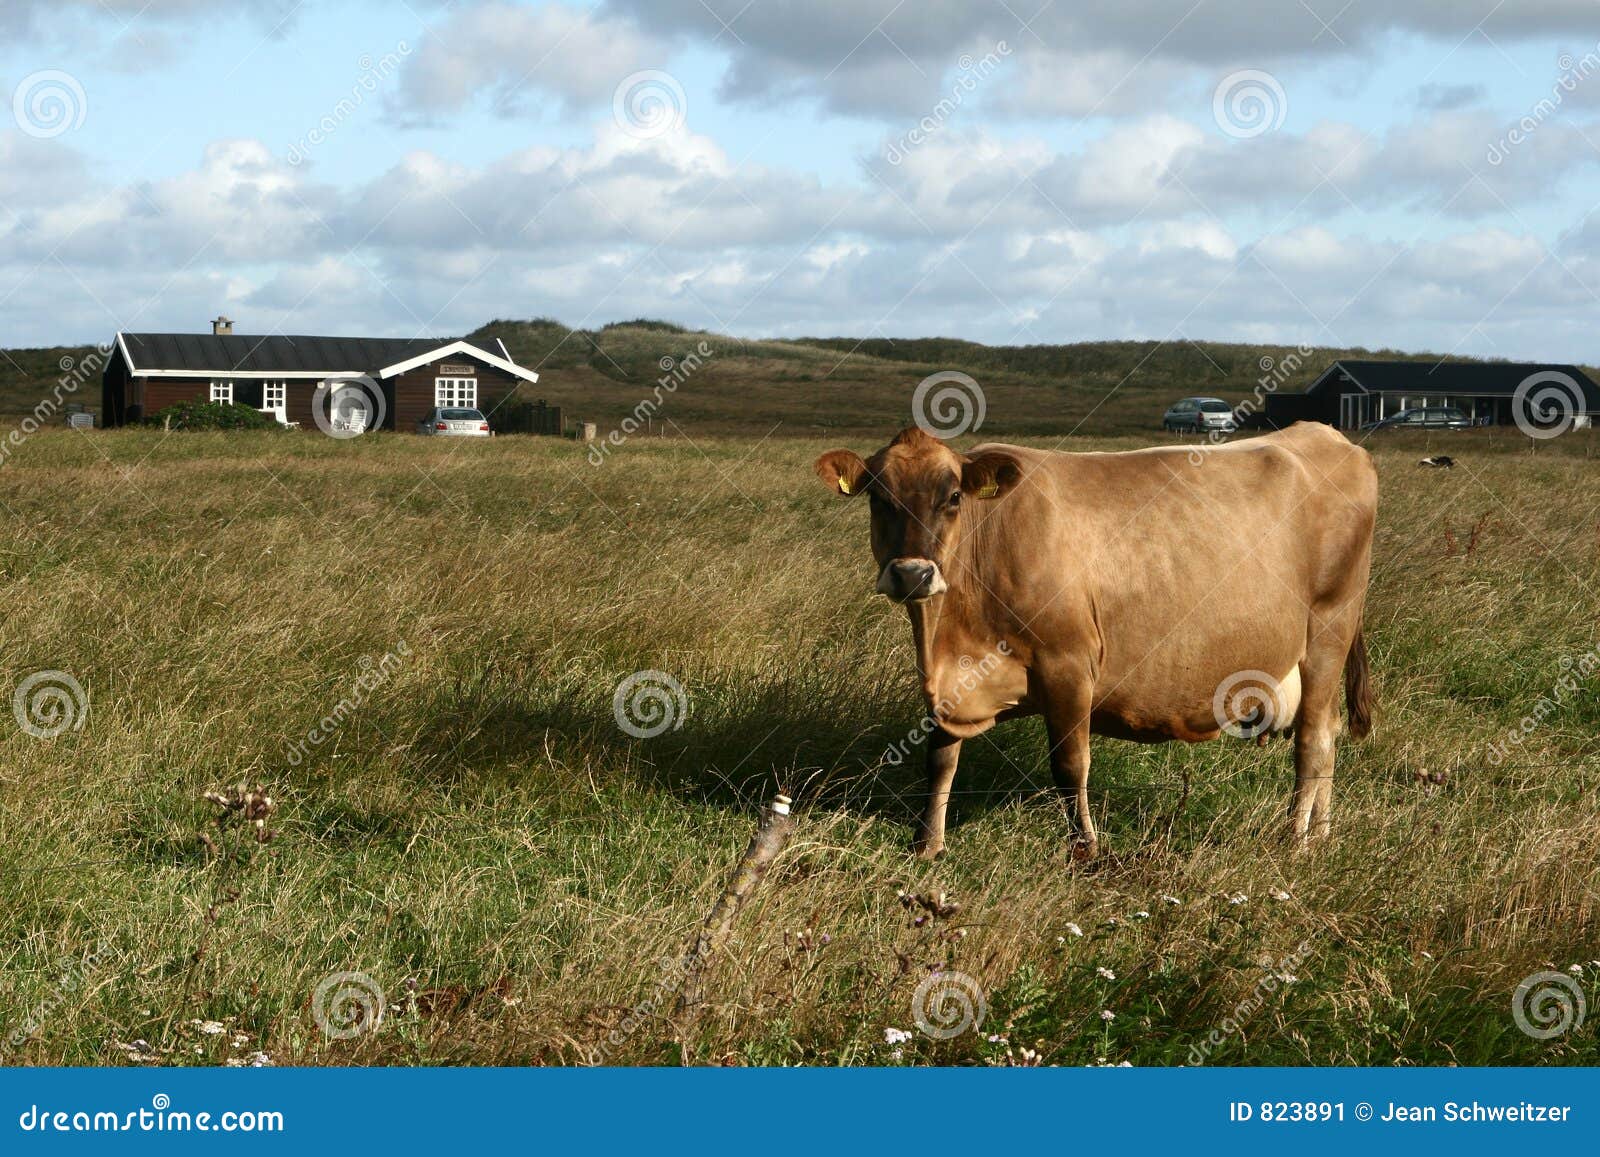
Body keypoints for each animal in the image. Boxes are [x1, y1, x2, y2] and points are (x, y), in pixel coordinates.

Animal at [814, 422, 1377, 858]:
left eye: (952, 497)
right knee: (1327, 736)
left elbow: (1070, 765)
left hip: (1328, 631)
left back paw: (1295, 840)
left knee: (1311, 741)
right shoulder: (954, 682)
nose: (912, 573)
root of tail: (1326, 436)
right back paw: (1322, 835)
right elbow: (940, 759)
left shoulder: (1068, 663)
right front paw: (927, 844)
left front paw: (1084, 848)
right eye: (877, 497)